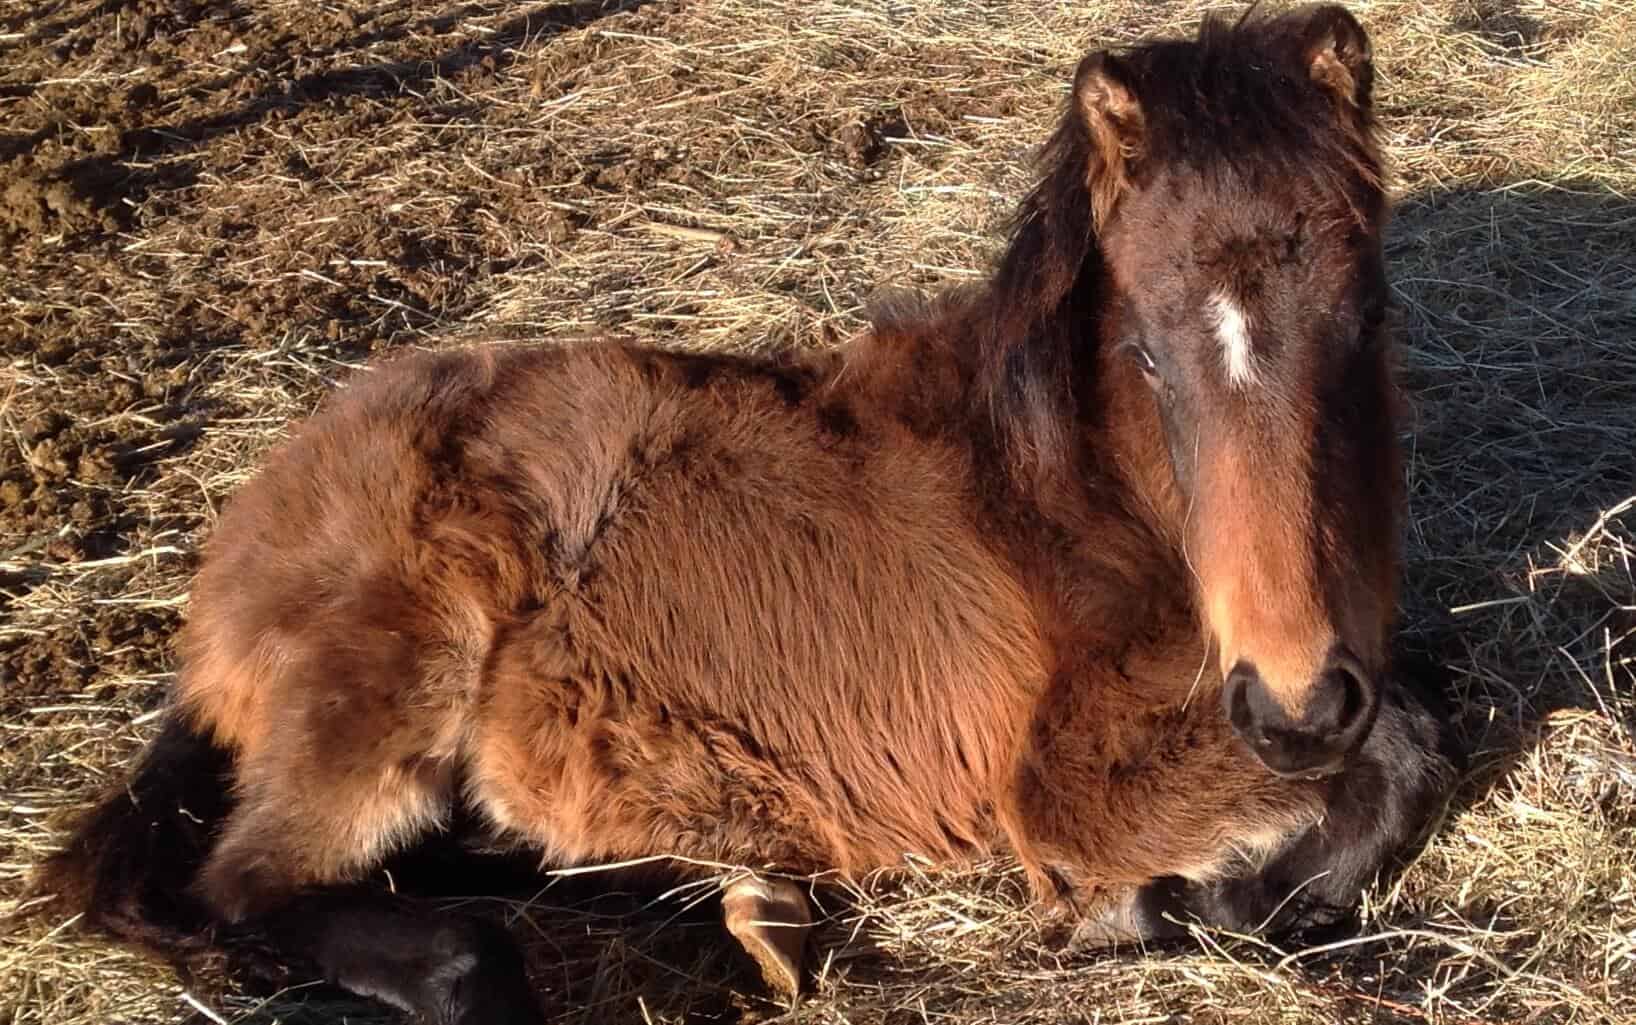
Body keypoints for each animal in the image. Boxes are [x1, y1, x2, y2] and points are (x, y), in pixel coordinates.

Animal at [35, 6, 1458, 1023]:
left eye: (1369, 316)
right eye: (1149, 353)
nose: (1291, 707)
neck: (1080, 495)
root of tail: (237, 549)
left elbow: (1409, 721)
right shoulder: (1059, 786)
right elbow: (1406, 743)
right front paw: (1170, 904)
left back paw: (734, 907)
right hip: (390, 674)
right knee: (256, 886)